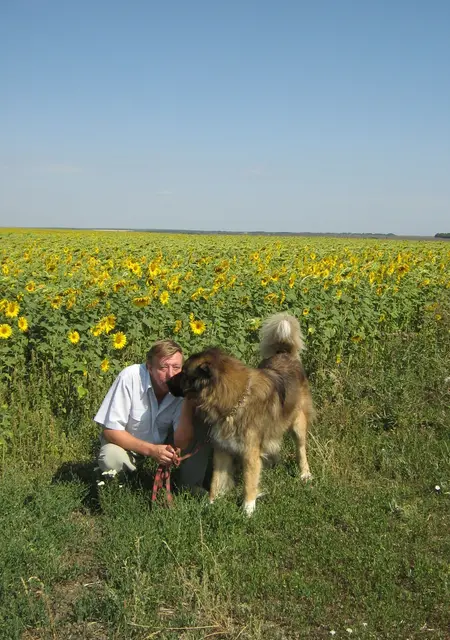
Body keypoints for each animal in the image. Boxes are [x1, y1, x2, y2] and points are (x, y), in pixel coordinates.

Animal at [167, 313, 314, 515]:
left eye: (183, 373)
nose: (166, 383)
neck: (232, 402)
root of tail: (284, 354)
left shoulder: (250, 451)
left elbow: (249, 482)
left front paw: (248, 509)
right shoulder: (222, 449)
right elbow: (216, 481)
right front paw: (211, 504)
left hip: (298, 423)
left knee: (301, 449)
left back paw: (305, 474)